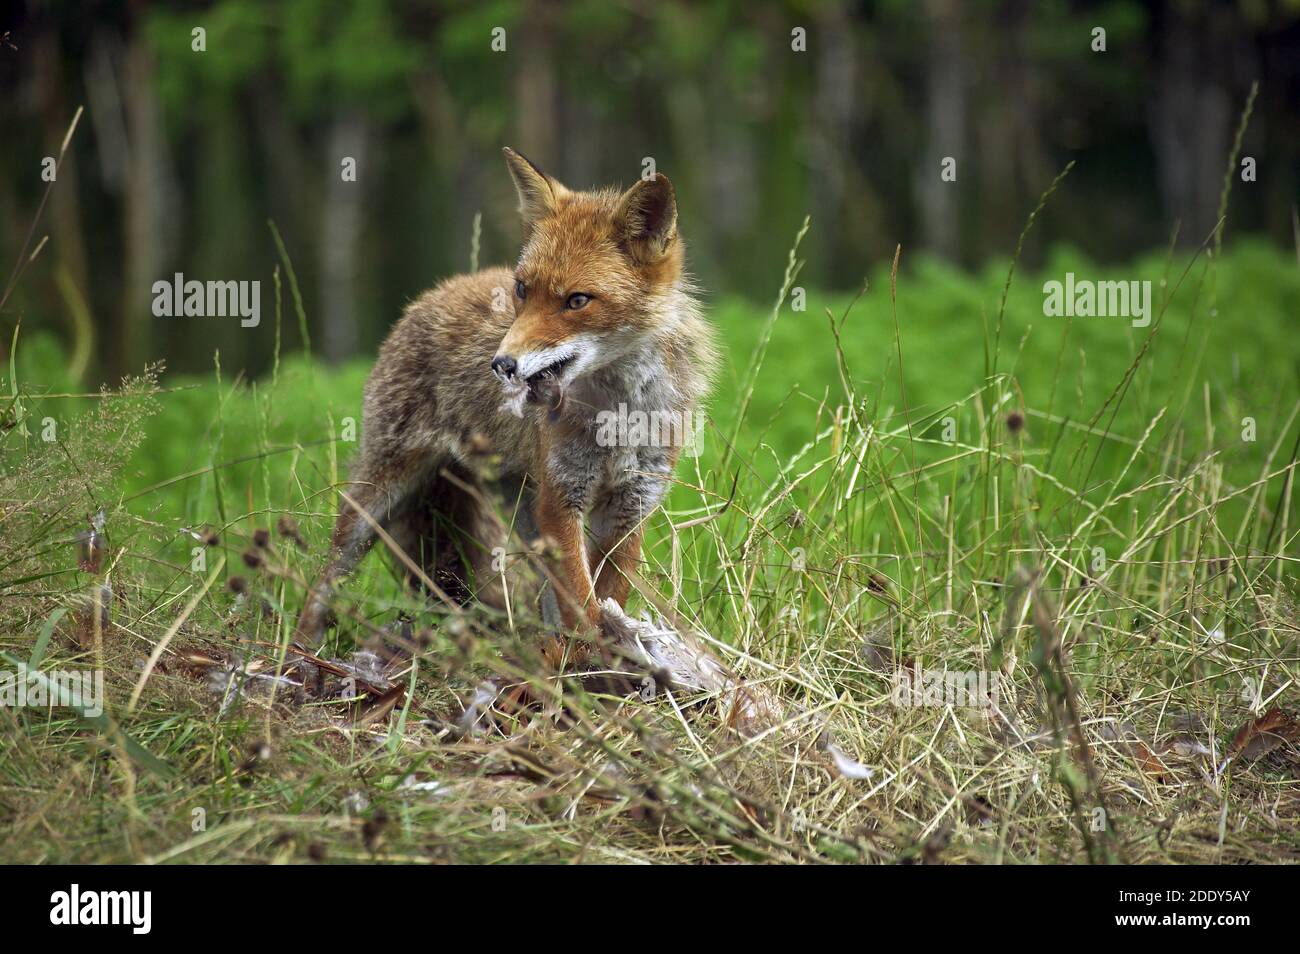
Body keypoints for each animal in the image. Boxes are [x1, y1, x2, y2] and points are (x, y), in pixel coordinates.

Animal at [293, 148, 717, 666]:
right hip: (378, 498)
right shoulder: (562, 497)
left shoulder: (630, 504)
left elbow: (606, 594)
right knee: (325, 581)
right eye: (522, 290)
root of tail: (434, 292)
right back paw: (296, 655)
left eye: (577, 300)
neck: (615, 417)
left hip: (521, 509)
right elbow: (584, 605)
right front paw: (594, 666)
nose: (501, 364)